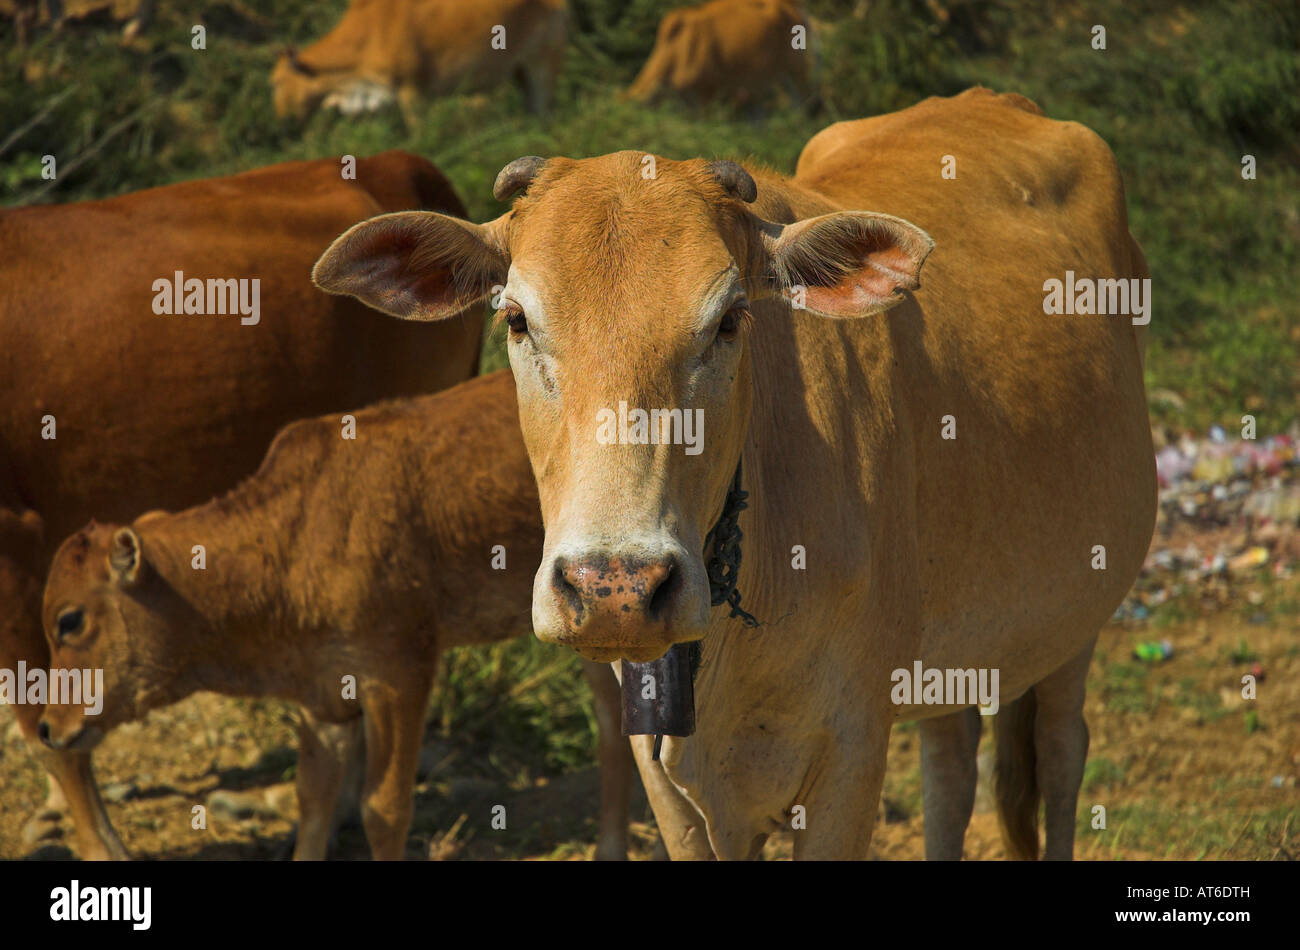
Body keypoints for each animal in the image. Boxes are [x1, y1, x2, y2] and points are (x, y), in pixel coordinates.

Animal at [39, 371, 635, 861]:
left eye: (70, 620)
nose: (48, 727)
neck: (296, 533)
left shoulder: (399, 675)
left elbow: (383, 809)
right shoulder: (324, 696)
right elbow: (313, 801)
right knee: (613, 728)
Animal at [311, 87, 1157, 860]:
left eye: (729, 319)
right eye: (516, 319)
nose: (614, 590)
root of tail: (999, 98)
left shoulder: (851, 757)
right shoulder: (671, 783)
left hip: (1077, 612)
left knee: (1060, 754)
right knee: (951, 764)